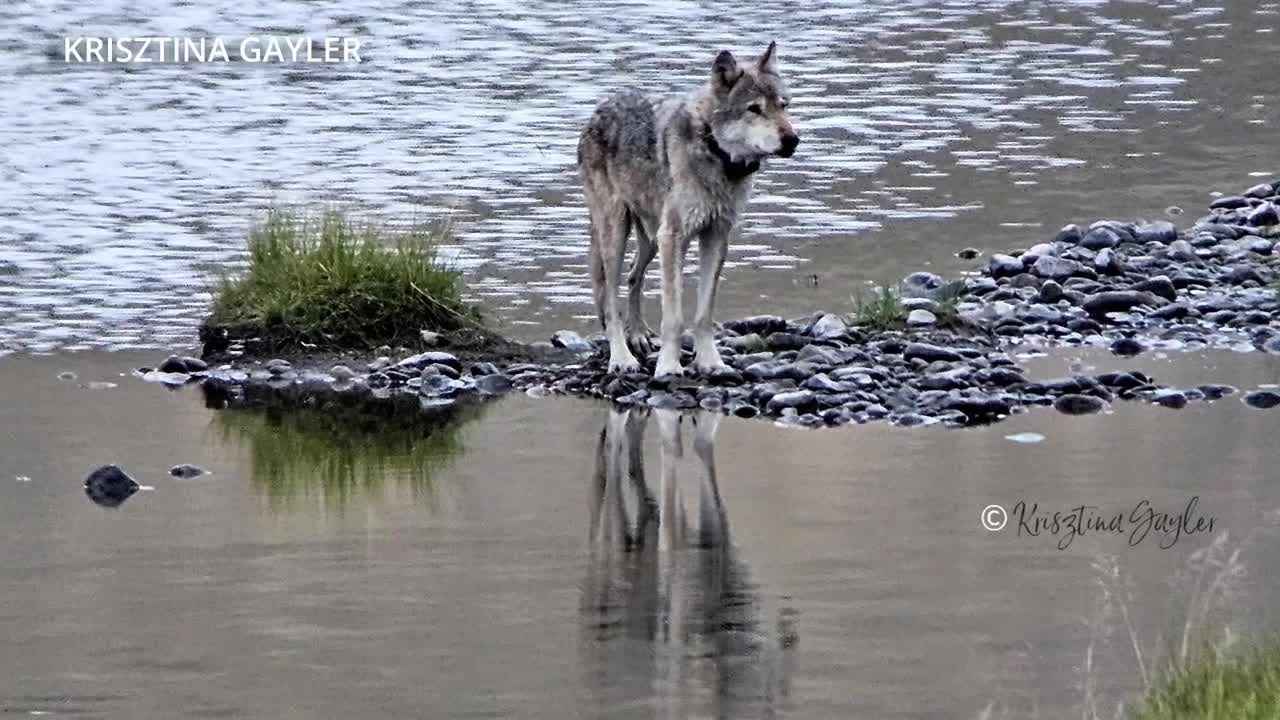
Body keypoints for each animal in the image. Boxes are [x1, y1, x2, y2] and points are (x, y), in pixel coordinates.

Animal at [577, 41, 799, 379]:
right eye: (754, 109)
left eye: (783, 105)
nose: (793, 140)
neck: (715, 153)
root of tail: (599, 109)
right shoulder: (674, 237)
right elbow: (674, 316)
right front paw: (669, 366)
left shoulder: (716, 236)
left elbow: (704, 313)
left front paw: (711, 362)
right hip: (617, 235)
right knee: (611, 299)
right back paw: (622, 358)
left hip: (651, 240)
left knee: (633, 276)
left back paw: (638, 334)